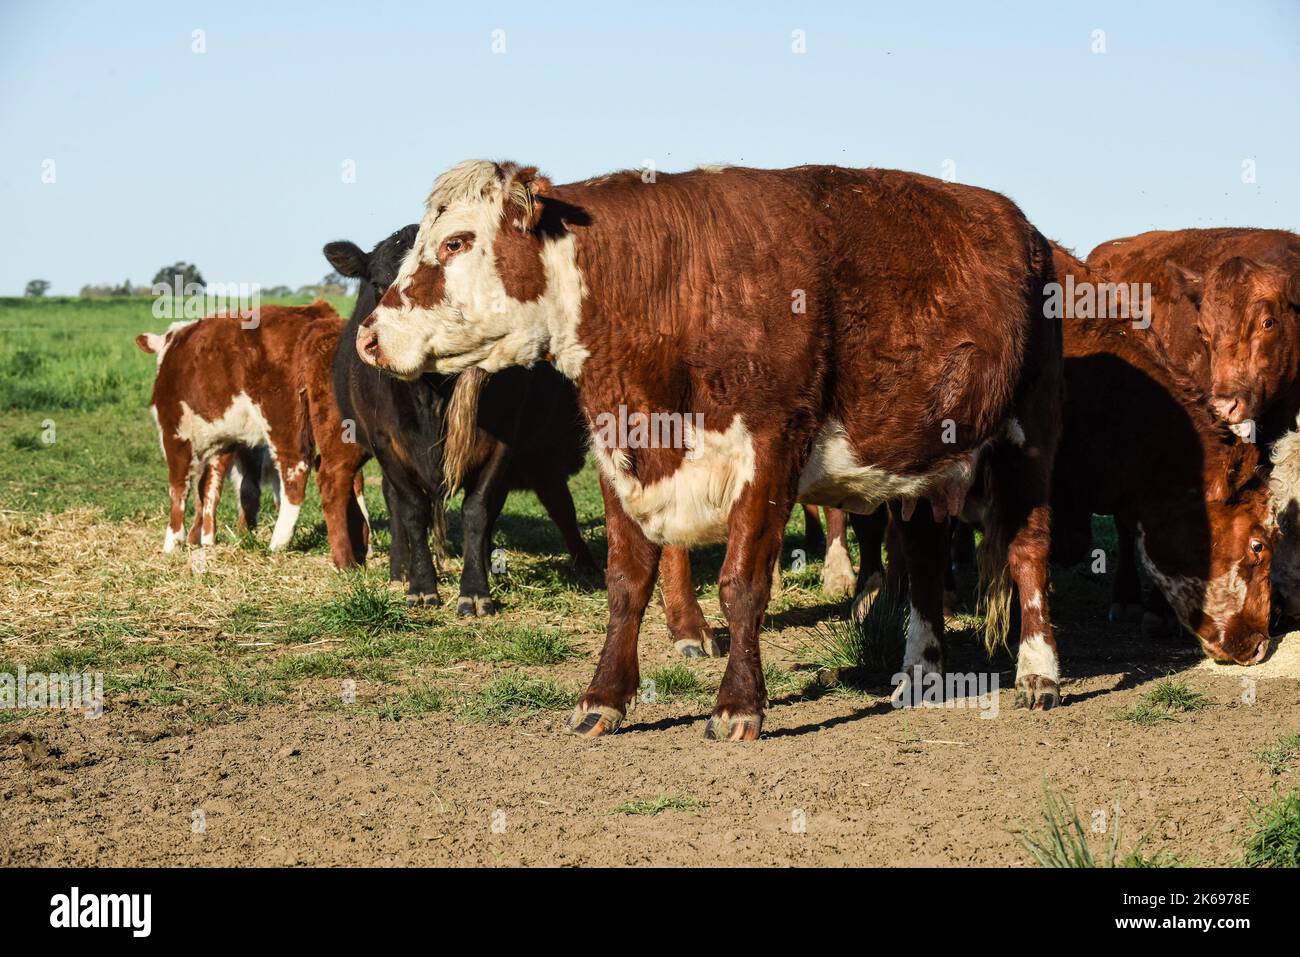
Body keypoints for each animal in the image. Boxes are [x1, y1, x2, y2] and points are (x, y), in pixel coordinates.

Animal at [137, 301, 369, 568]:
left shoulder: (174, 433)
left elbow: (178, 488)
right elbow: (209, 489)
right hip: (338, 424)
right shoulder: (222, 442)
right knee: (351, 475)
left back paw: (279, 543)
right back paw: (364, 546)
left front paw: (172, 542)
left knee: (296, 473)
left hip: (281, 419)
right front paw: (207, 540)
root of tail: (318, 314)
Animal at [324, 226, 601, 614]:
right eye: (379, 285)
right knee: (395, 504)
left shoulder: (502, 444)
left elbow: (478, 510)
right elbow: (412, 511)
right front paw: (421, 586)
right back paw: (399, 571)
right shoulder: (386, 444)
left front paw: (475, 589)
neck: (432, 396)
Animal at [355, 160, 1063, 740]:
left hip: (1029, 438)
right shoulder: (620, 454)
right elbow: (625, 583)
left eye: (455, 241)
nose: (367, 336)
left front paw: (738, 705)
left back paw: (1039, 672)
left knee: (1028, 551)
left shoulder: (771, 449)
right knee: (922, 559)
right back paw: (920, 671)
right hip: (916, 465)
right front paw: (603, 698)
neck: (666, 283)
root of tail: (1025, 229)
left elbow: (742, 583)